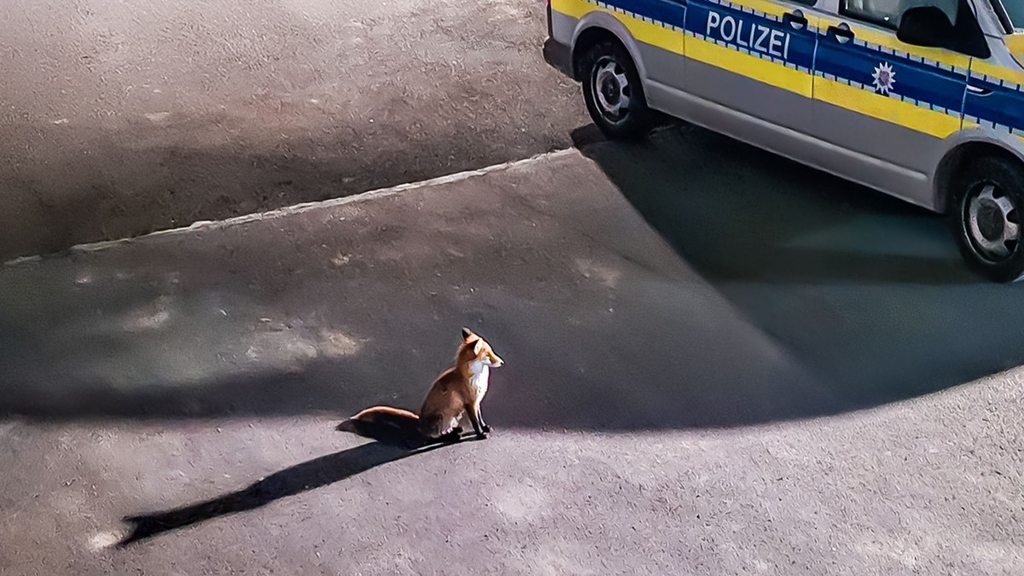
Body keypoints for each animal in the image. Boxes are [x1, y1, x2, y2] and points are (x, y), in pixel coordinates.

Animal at [337, 327, 504, 448]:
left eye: (491, 352)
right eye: (488, 355)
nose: (502, 362)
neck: (475, 379)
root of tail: (419, 421)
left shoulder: (477, 402)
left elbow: (480, 419)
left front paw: (486, 428)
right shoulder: (469, 402)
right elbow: (475, 423)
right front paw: (481, 435)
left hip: (455, 416)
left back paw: (455, 430)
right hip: (440, 417)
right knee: (431, 438)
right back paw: (451, 436)